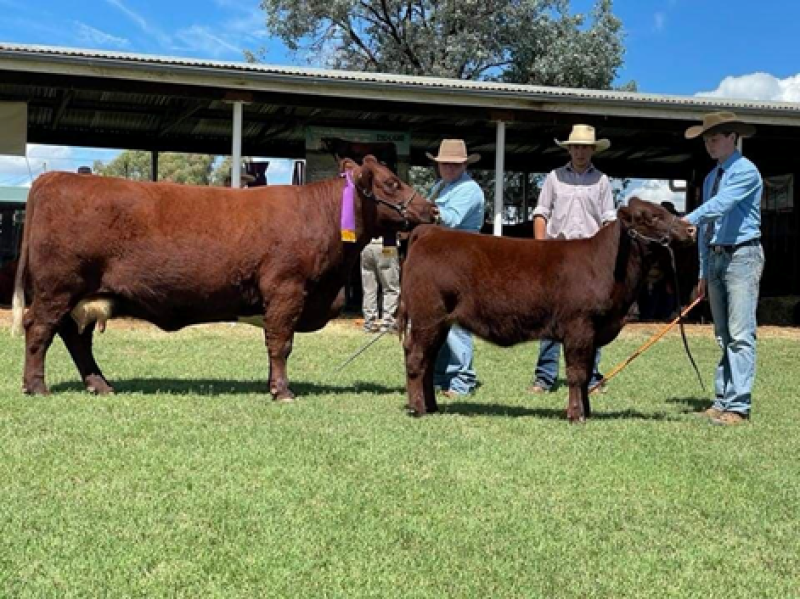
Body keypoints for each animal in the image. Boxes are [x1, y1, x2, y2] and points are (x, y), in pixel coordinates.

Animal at [11, 156, 436, 398]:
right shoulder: (286, 290)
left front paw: (272, 384)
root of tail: (53, 179)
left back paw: (100, 385)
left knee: (75, 338)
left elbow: (272, 344)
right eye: (392, 183)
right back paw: (37, 386)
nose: (431, 209)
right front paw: (282, 391)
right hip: (57, 288)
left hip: (82, 294)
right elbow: (281, 344)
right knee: (40, 330)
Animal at [398, 198, 696, 423]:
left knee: (428, 360)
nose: (691, 229)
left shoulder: (592, 332)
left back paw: (431, 406)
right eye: (653, 216)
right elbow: (577, 374)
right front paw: (576, 415)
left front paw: (586, 411)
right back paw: (418, 408)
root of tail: (429, 232)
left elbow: (586, 372)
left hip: (439, 322)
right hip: (428, 317)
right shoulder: (580, 327)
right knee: (416, 357)